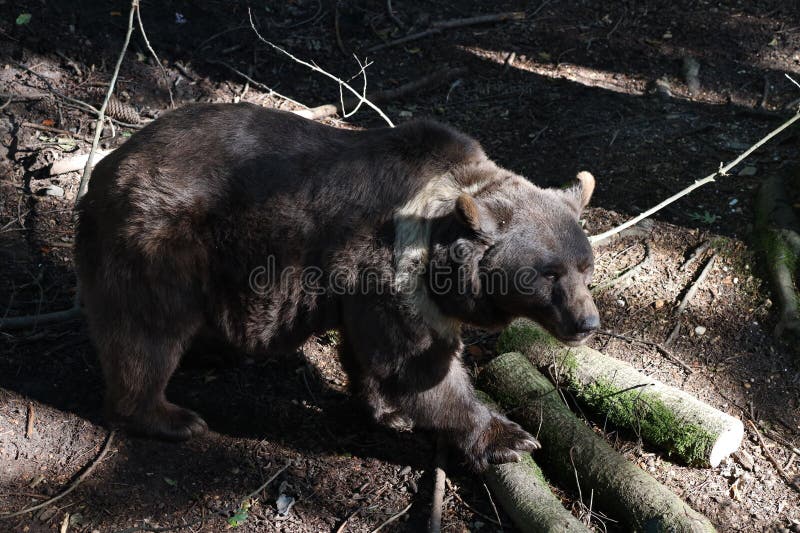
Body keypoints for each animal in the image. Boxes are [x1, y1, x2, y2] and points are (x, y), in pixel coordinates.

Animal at [75, 103, 599, 471]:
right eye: (547, 273)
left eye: (585, 267)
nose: (587, 322)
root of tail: (109, 163)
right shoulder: (390, 271)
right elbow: (417, 365)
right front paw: (510, 437)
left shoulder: (365, 287)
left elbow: (372, 356)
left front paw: (386, 411)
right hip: (161, 241)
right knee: (145, 334)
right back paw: (170, 416)